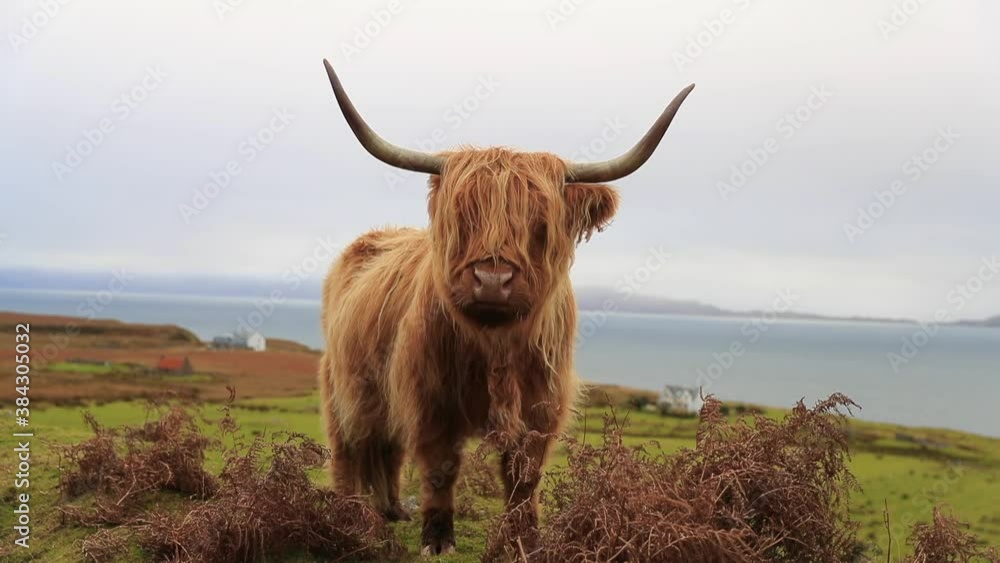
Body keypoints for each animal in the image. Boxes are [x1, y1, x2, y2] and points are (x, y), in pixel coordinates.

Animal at [317, 59, 693, 556]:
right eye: (464, 216)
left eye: (539, 222)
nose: (492, 281)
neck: (495, 347)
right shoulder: (429, 398)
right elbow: (440, 468)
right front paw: (438, 538)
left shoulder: (541, 406)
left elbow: (523, 478)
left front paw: (524, 539)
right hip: (342, 385)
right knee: (350, 446)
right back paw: (350, 515)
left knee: (386, 449)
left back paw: (393, 510)